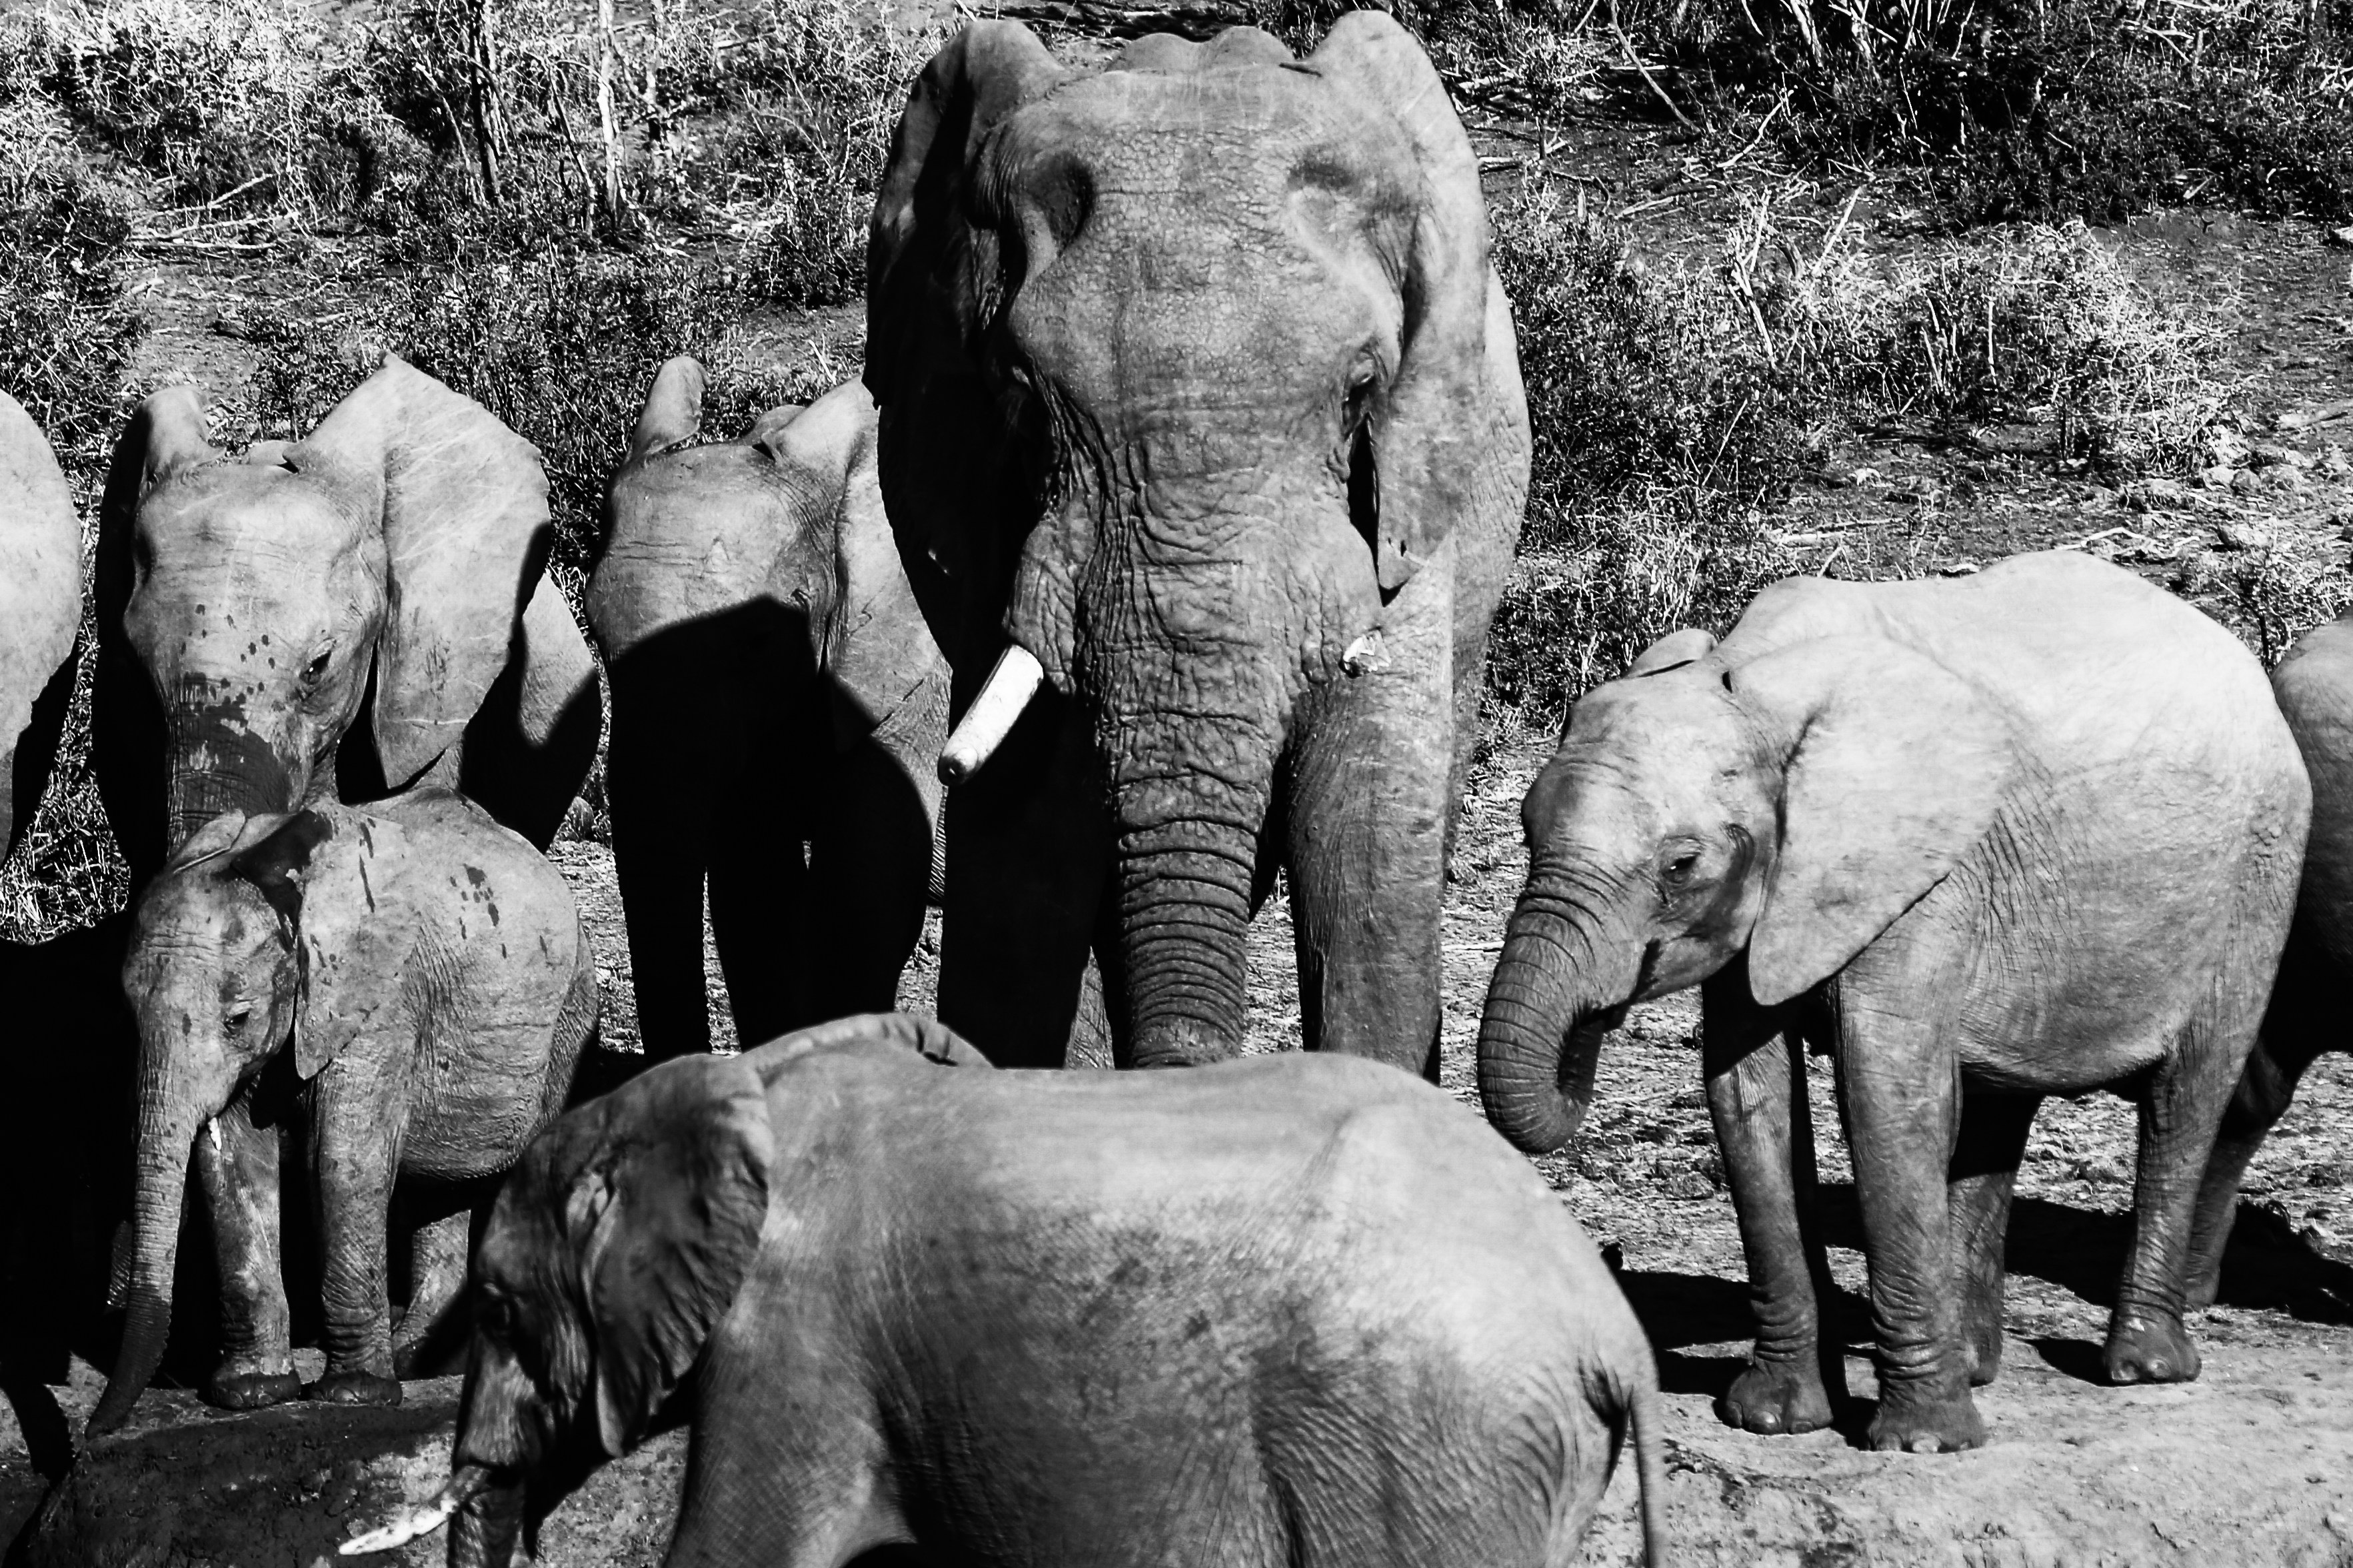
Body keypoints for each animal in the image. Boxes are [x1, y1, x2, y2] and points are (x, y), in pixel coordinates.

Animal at [88, 789, 598, 1436]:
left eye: (237, 1018)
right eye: (129, 1017)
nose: (92, 1433)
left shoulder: (381, 1001)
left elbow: (342, 1161)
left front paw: (355, 1396)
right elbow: (233, 1164)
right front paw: (253, 1393)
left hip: (571, 1014)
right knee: (440, 1189)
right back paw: (422, 1361)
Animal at [1476, 550, 2309, 1454]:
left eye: (1679, 865)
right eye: (1525, 834)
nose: (1593, 1020)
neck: (1755, 680)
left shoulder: (1921, 872)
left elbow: (1882, 1091)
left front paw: (1924, 1443)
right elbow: (1748, 1095)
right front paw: (1773, 1419)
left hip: (2260, 875)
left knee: (2185, 1096)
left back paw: (2144, 1369)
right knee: (1997, 1103)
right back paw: (1977, 1365)